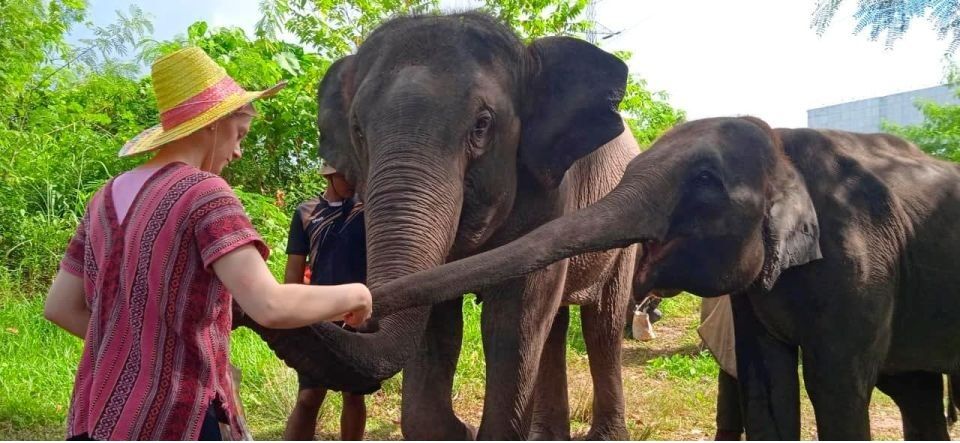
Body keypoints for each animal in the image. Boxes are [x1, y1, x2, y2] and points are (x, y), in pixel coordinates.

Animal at [243, 12, 642, 440]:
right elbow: (438, 324)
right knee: (556, 325)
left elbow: (513, 321)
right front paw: (456, 431)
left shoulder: (552, 196)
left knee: (602, 326)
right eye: (358, 131)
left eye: (482, 125)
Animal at [367, 116, 960, 440]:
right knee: (915, 391)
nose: (356, 310)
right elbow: (767, 382)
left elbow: (837, 384)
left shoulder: (863, 262)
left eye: (705, 181)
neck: (784, 142)